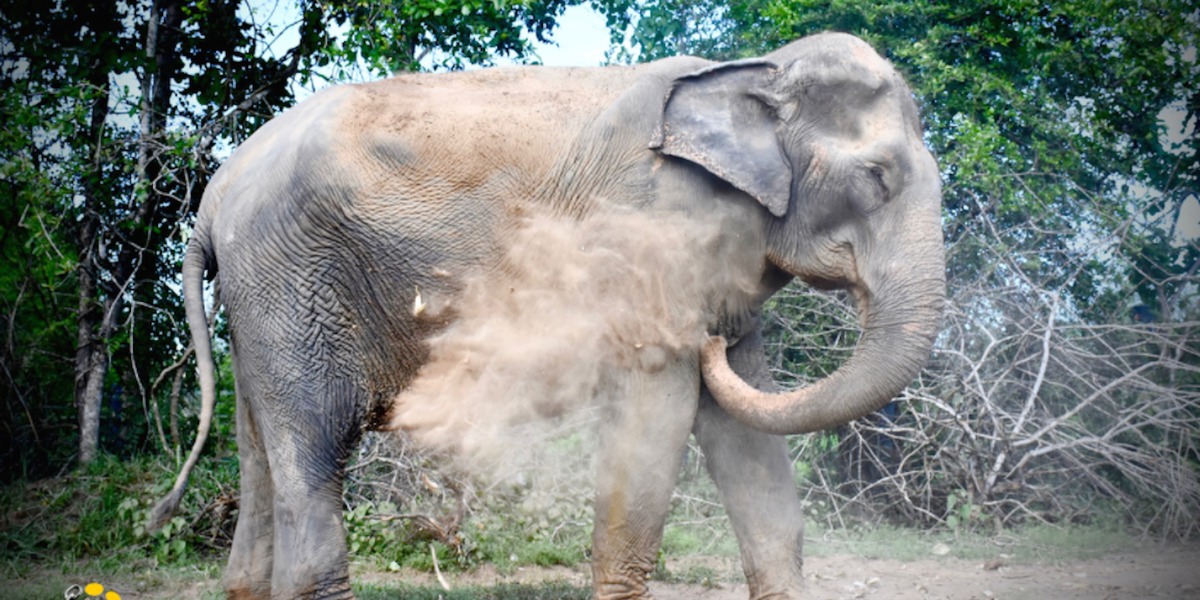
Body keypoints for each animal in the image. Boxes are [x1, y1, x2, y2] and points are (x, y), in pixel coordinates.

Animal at [153, 31, 944, 600]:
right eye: (877, 179)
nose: (711, 345)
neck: (750, 72)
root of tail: (213, 198)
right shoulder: (650, 232)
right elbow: (653, 421)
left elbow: (748, 441)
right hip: (294, 287)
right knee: (314, 453)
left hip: (263, 300)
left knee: (261, 453)